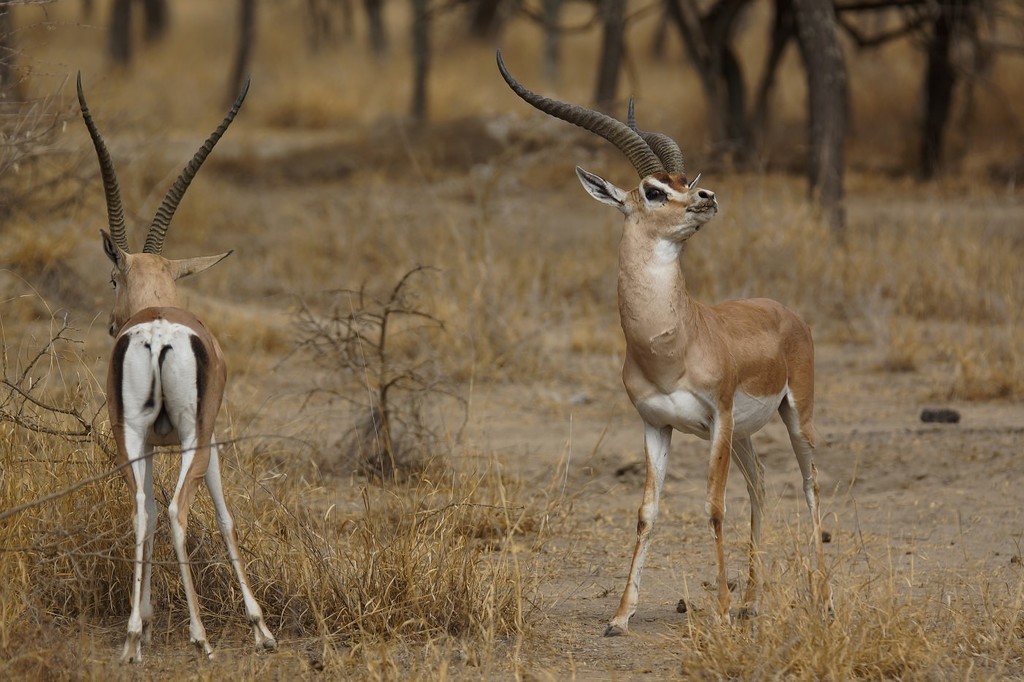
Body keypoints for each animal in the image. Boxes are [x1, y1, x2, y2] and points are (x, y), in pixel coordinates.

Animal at [77, 74, 276, 662]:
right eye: (113, 278)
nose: (111, 323)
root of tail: (158, 332)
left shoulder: (148, 440)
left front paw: (142, 623)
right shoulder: (211, 439)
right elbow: (226, 517)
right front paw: (261, 627)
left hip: (131, 436)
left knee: (143, 511)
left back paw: (132, 639)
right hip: (191, 437)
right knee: (174, 514)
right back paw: (201, 637)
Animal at [497, 51, 832, 635]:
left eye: (682, 181)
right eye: (655, 190)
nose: (707, 196)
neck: (669, 347)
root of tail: (785, 311)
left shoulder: (717, 416)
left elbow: (714, 506)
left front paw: (718, 610)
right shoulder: (655, 424)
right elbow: (646, 513)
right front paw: (620, 616)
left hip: (794, 414)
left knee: (809, 484)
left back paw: (822, 602)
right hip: (743, 435)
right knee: (761, 483)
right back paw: (754, 602)